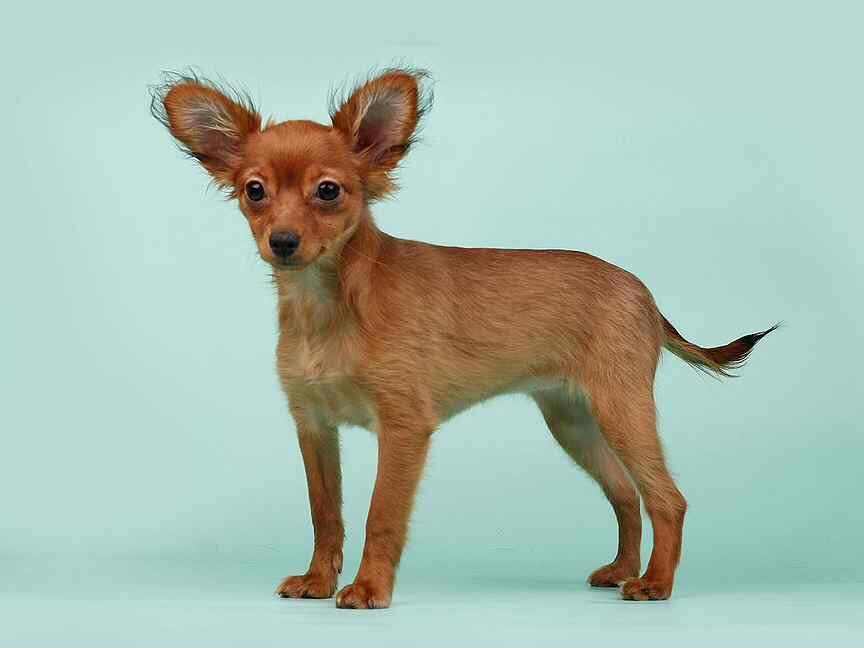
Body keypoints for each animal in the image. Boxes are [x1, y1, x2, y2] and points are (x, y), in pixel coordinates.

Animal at [151, 67, 775, 607]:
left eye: (327, 192)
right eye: (254, 192)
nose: (281, 242)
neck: (328, 304)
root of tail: (643, 293)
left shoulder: (404, 428)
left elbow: (381, 515)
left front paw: (369, 589)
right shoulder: (314, 426)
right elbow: (325, 513)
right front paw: (317, 581)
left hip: (621, 410)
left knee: (667, 499)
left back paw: (655, 583)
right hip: (572, 419)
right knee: (625, 492)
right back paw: (623, 569)